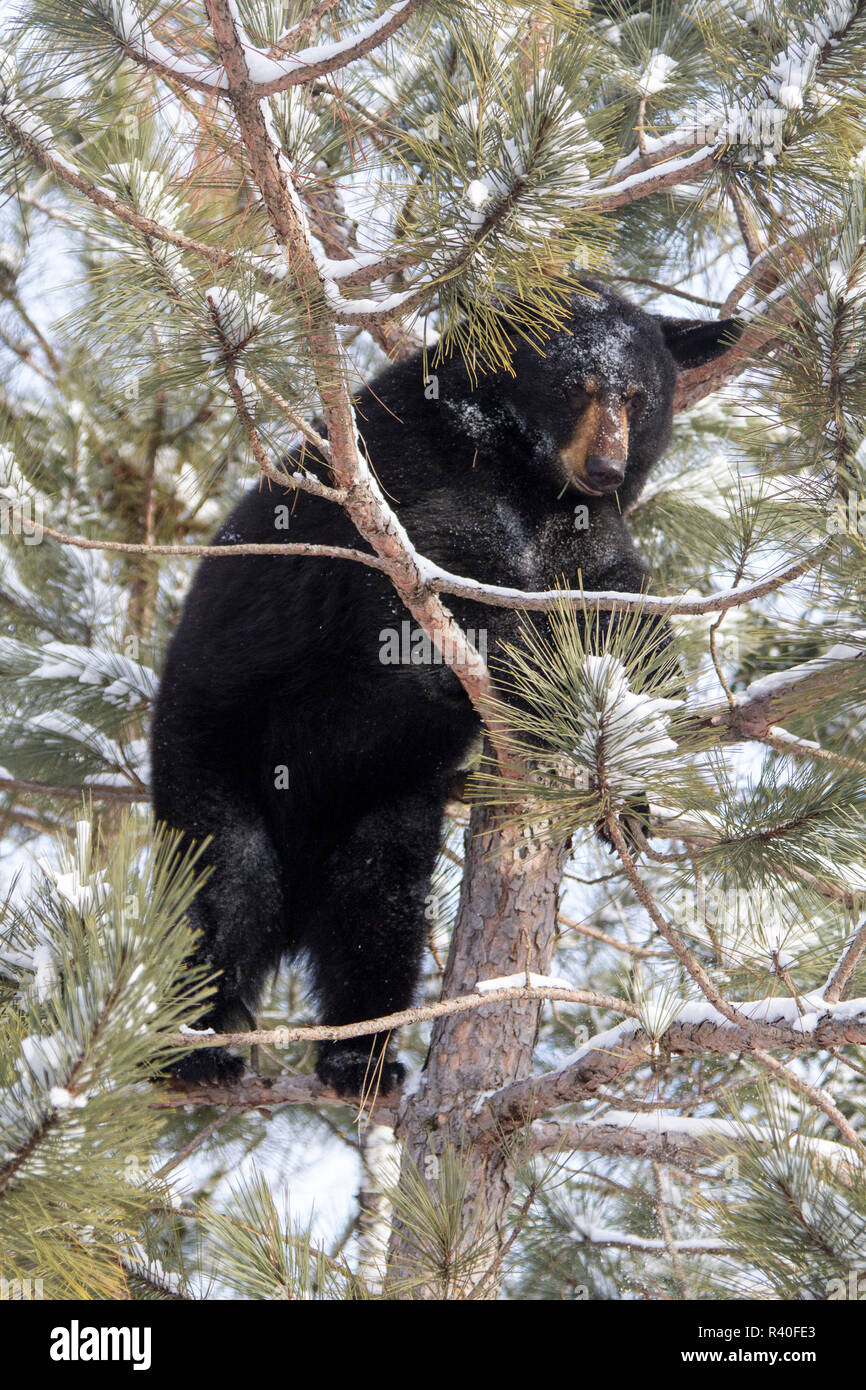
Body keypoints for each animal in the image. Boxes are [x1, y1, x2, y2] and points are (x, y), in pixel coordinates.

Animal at [150, 281, 740, 1095]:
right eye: (574, 387)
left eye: (639, 396)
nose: (607, 467)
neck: (527, 473)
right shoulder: (407, 483)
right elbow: (438, 583)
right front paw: (518, 674)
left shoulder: (581, 525)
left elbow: (617, 601)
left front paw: (628, 779)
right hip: (210, 747)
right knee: (221, 891)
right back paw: (198, 1048)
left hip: (388, 805)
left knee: (377, 912)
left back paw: (358, 1056)